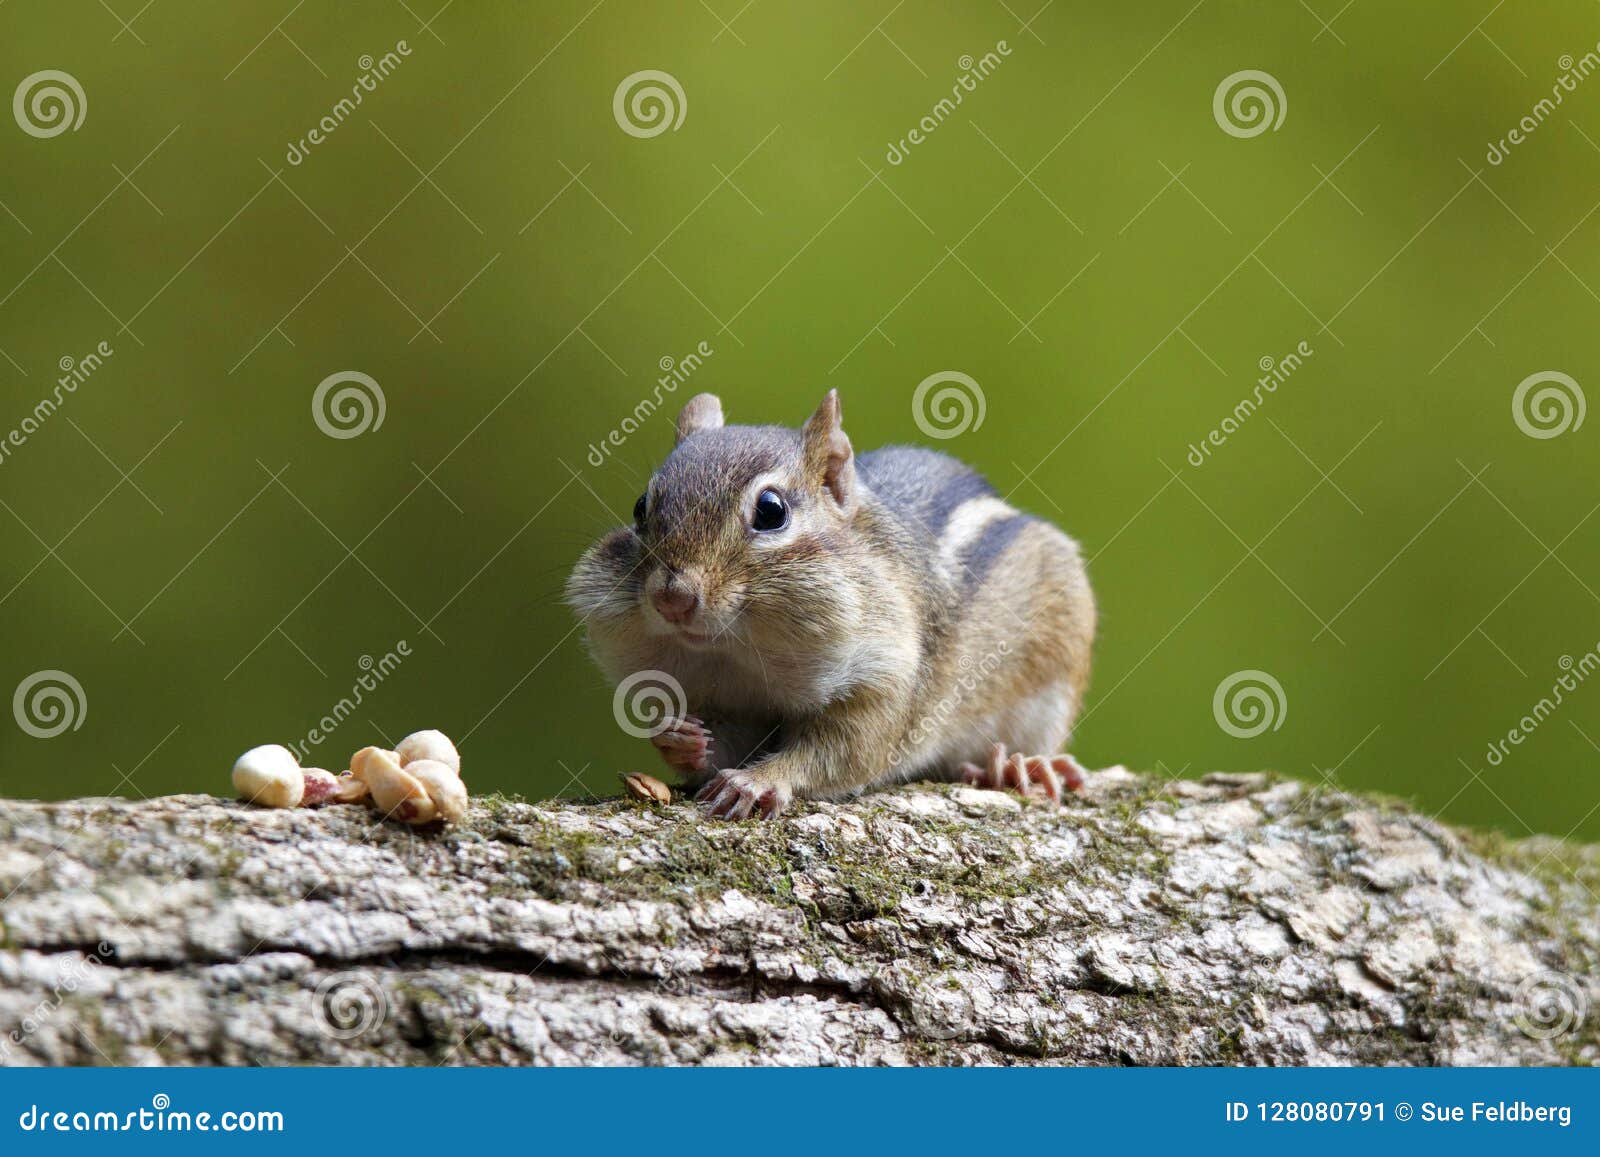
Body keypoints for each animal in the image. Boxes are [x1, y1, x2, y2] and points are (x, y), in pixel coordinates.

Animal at [566, 390, 1096, 820]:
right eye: (641, 507)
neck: (737, 655)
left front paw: (757, 781)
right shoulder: (729, 704)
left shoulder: (885, 682)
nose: (672, 597)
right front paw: (679, 740)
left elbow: (843, 752)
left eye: (771, 511)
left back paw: (1017, 765)